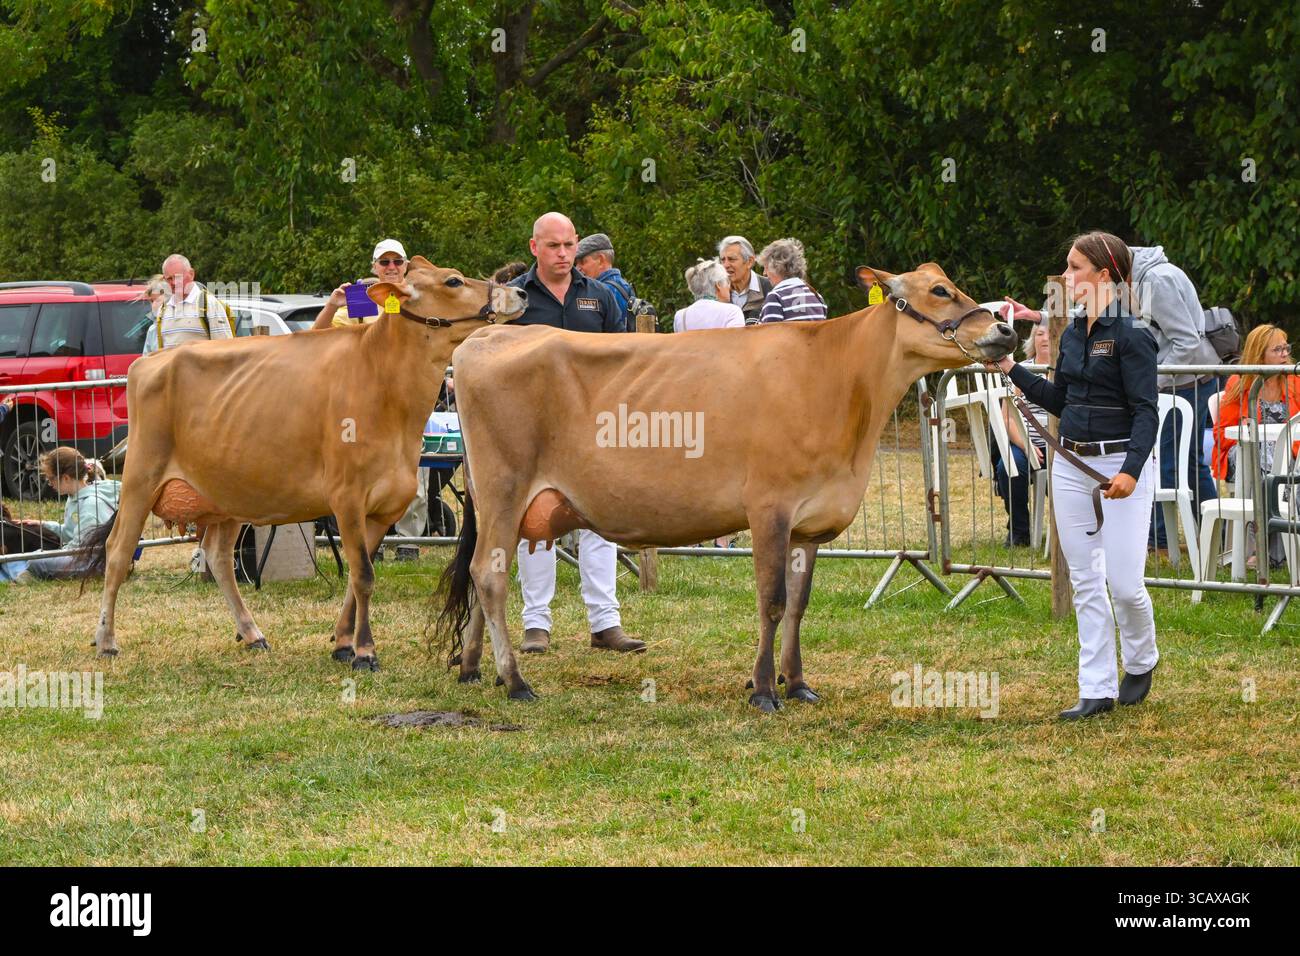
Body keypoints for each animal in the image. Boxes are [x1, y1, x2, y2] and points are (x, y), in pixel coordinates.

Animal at [83, 257, 526, 671]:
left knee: (218, 557)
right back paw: (106, 640)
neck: (386, 388)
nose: (518, 292)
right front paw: (366, 651)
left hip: (226, 494)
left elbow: (356, 577)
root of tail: (151, 360)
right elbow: (364, 575)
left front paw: (344, 644)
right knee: (118, 551)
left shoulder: (386, 506)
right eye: (453, 281)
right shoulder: (347, 497)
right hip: (141, 476)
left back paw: (252, 632)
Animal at [436, 262, 1018, 709]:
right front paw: (764, 690)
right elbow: (772, 601)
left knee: (480, 570)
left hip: (493, 500)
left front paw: (798, 684)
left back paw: (473, 668)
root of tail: (487, 336)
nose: (1006, 331)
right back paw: (515, 681)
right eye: (939, 291)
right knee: (490, 576)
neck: (838, 383)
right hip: (506, 487)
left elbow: (800, 605)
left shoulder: (811, 523)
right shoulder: (769, 508)